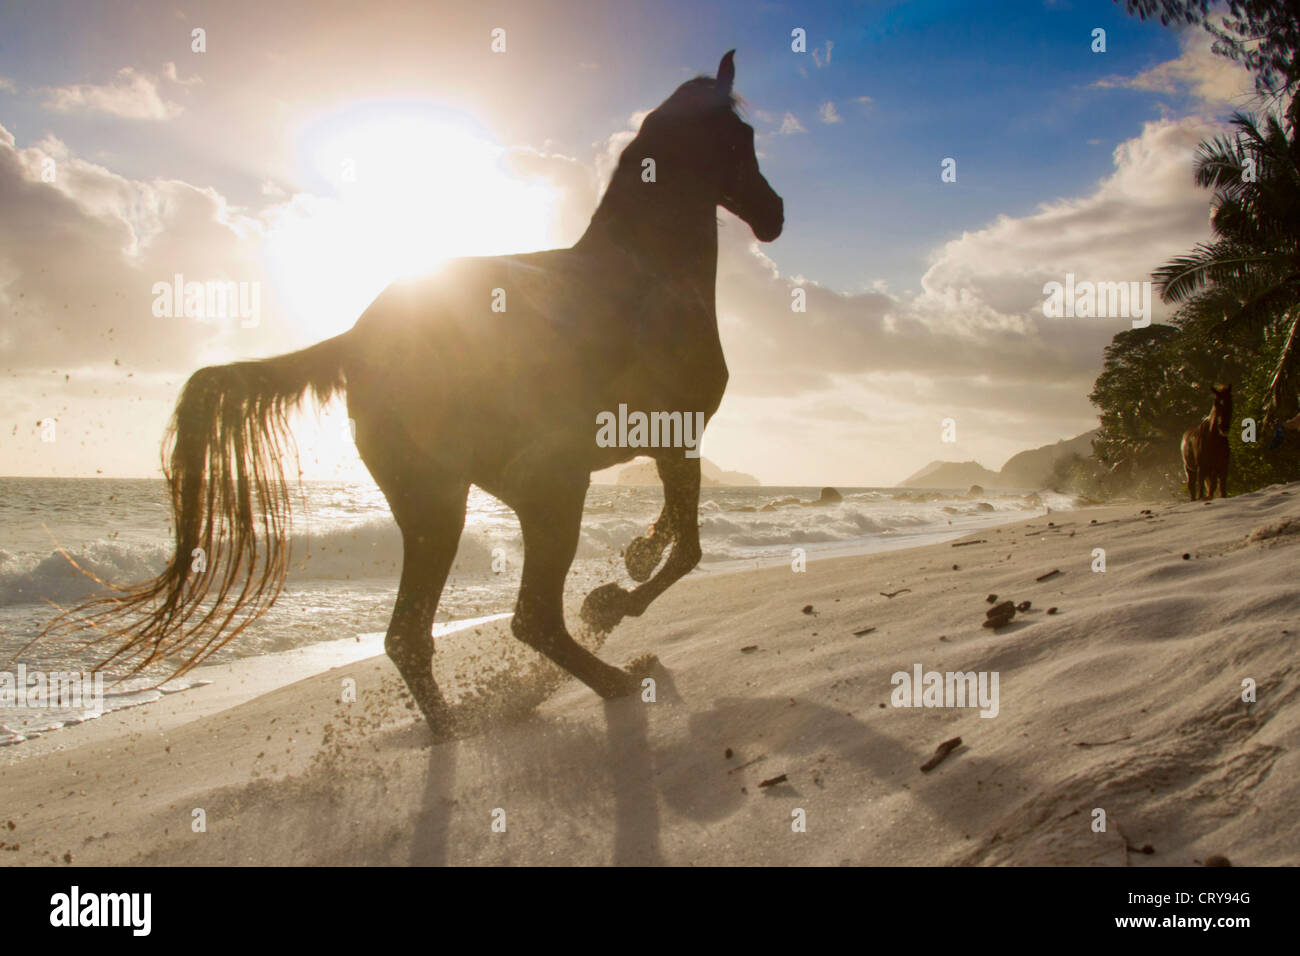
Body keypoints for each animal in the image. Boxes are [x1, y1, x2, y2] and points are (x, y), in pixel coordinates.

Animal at [44, 51, 784, 735]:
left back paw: (458, 726)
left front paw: (631, 557)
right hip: (522, 494)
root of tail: (358, 340)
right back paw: (606, 682)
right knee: (526, 618)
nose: (773, 214)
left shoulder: (666, 444)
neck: (643, 276)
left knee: (416, 634)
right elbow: (688, 549)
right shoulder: (678, 438)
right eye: (741, 137)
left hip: (453, 505)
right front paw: (612, 599)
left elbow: (672, 533)